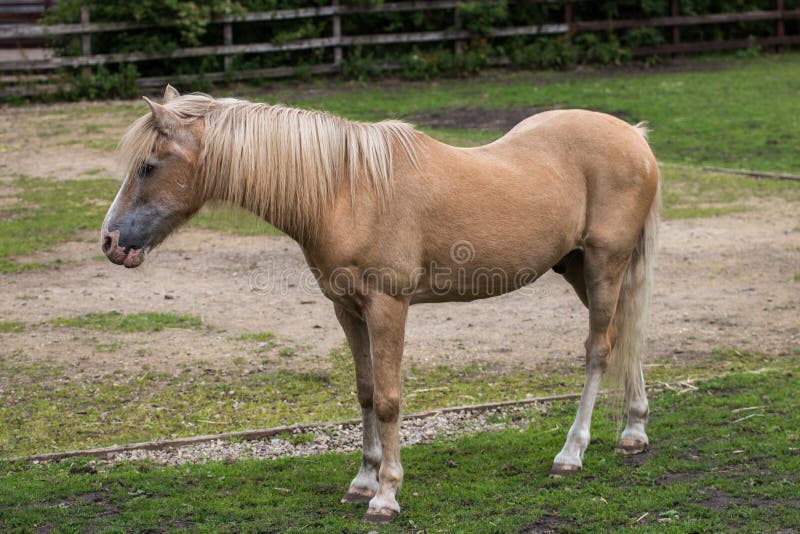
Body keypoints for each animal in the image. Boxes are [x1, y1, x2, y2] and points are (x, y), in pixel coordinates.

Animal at [100, 85, 659, 523]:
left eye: (148, 166)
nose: (111, 242)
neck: (347, 190)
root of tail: (634, 137)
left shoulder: (388, 306)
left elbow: (389, 398)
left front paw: (386, 495)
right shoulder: (346, 308)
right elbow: (366, 391)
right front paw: (363, 481)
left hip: (605, 264)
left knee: (599, 349)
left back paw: (571, 452)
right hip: (579, 268)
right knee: (627, 336)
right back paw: (633, 431)